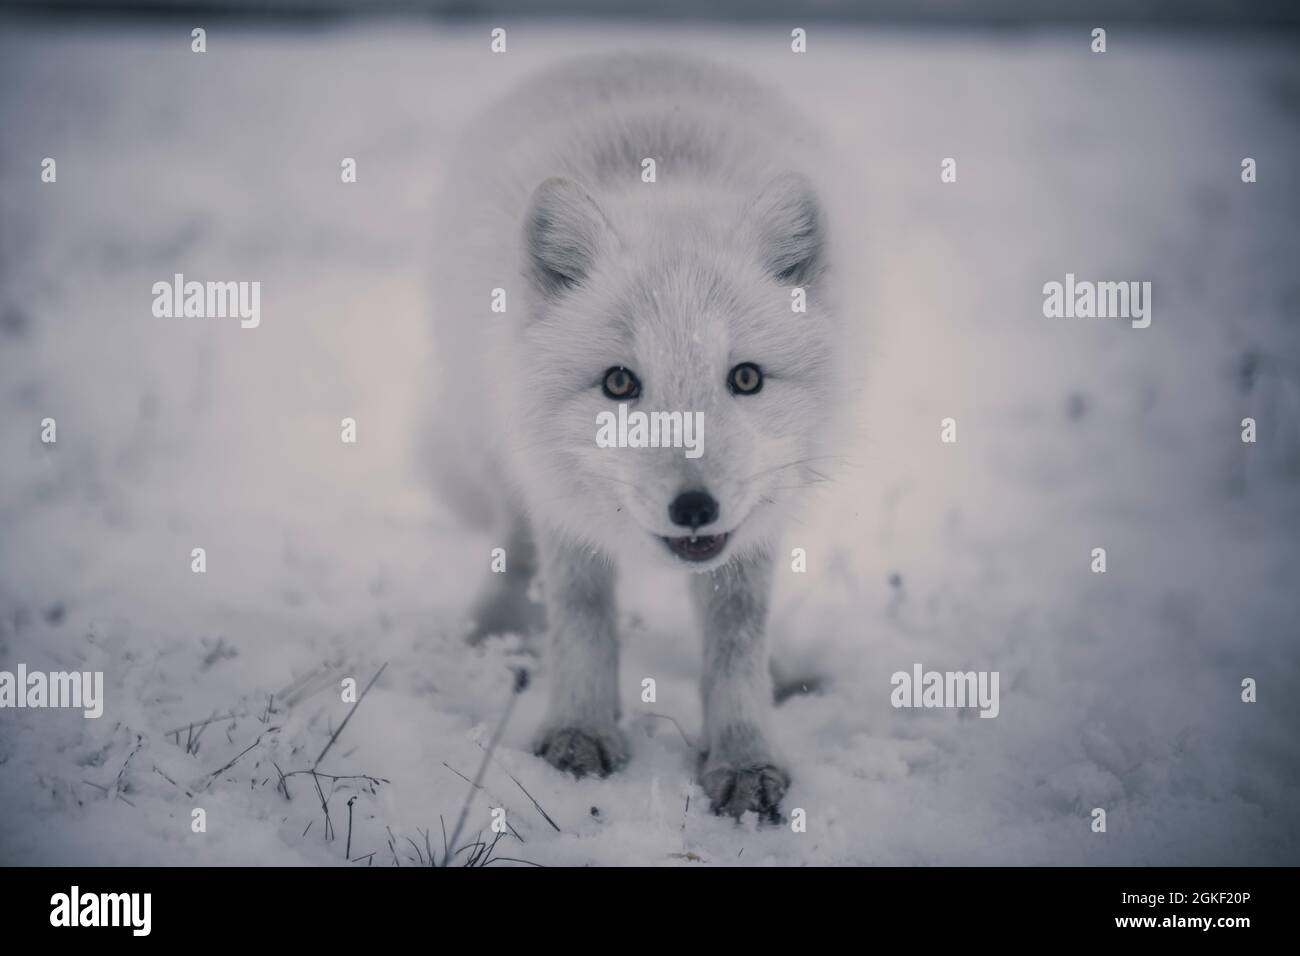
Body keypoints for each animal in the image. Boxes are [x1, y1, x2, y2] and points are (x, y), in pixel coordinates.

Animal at [429, 53, 842, 819]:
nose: (695, 509)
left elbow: (738, 638)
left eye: (745, 378)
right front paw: (578, 732)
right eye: (620, 383)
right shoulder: (563, 502)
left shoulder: (755, 531)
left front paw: (745, 758)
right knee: (516, 547)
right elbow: (583, 617)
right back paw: (498, 632)